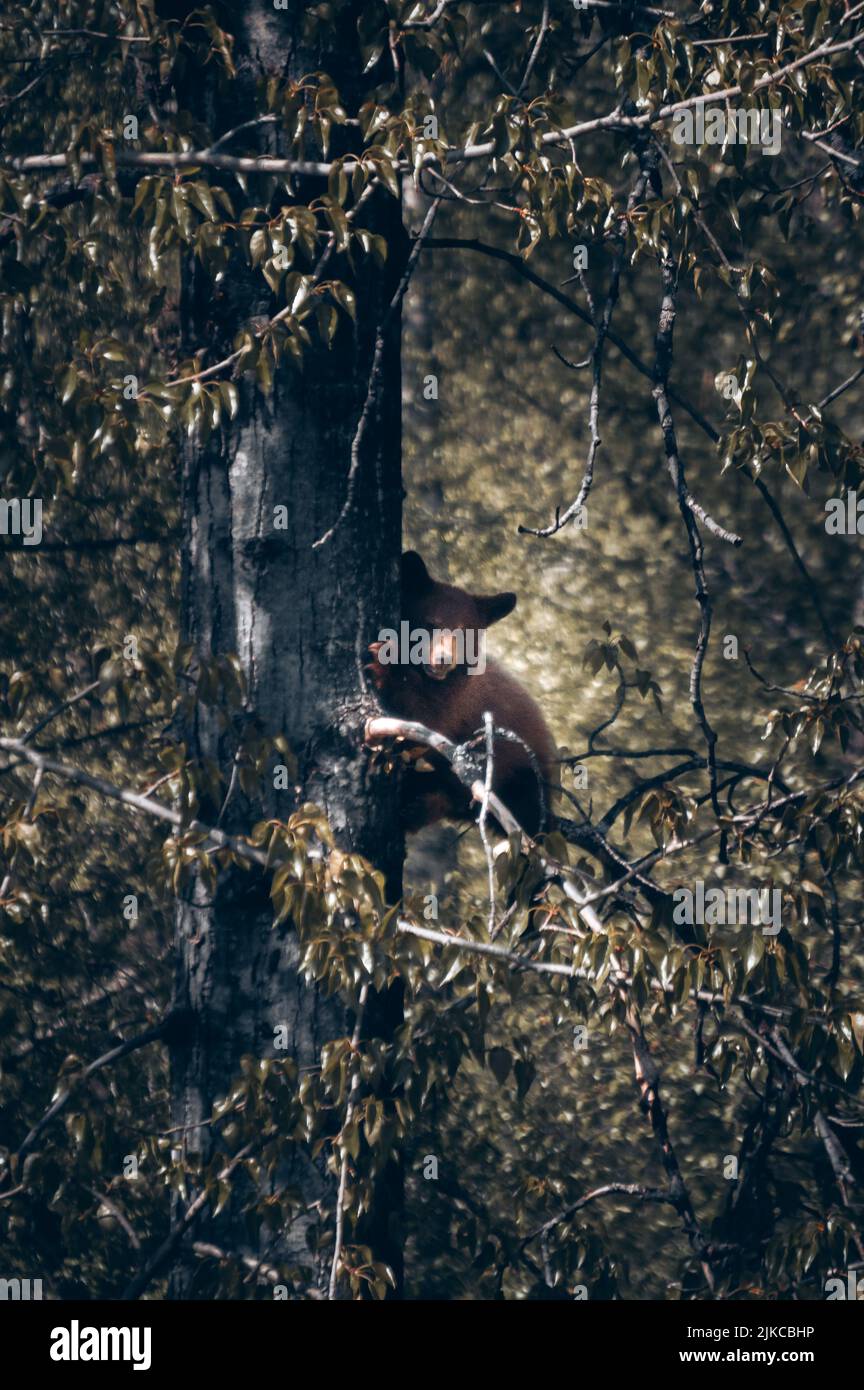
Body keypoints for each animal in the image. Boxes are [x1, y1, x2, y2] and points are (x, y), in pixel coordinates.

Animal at [368, 552, 556, 837]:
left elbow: (424, 718)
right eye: (430, 624)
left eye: (464, 632)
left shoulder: (454, 700)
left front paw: (384, 662)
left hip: (520, 772)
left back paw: (420, 808)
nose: (443, 660)